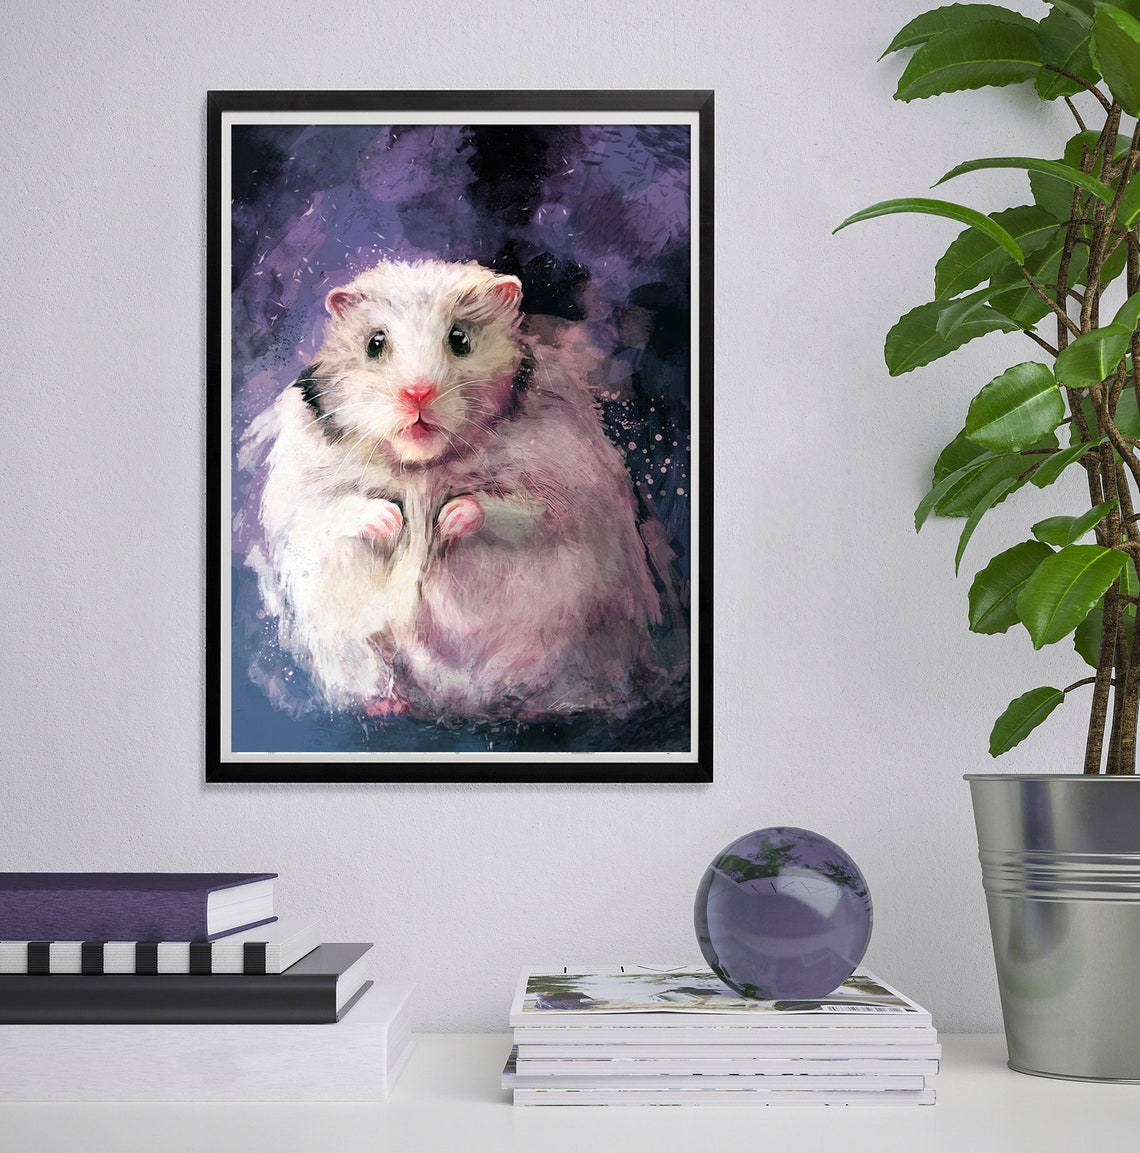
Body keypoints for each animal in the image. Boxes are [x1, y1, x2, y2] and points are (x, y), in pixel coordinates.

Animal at [246, 257, 678, 722]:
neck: (424, 467)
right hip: (344, 642)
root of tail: (448, 702)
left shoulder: (564, 484)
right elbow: (334, 510)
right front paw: (391, 519)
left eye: (460, 339)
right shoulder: (300, 488)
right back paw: (388, 703)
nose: (417, 393)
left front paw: (448, 520)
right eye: (375, 343)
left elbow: (516, 509)